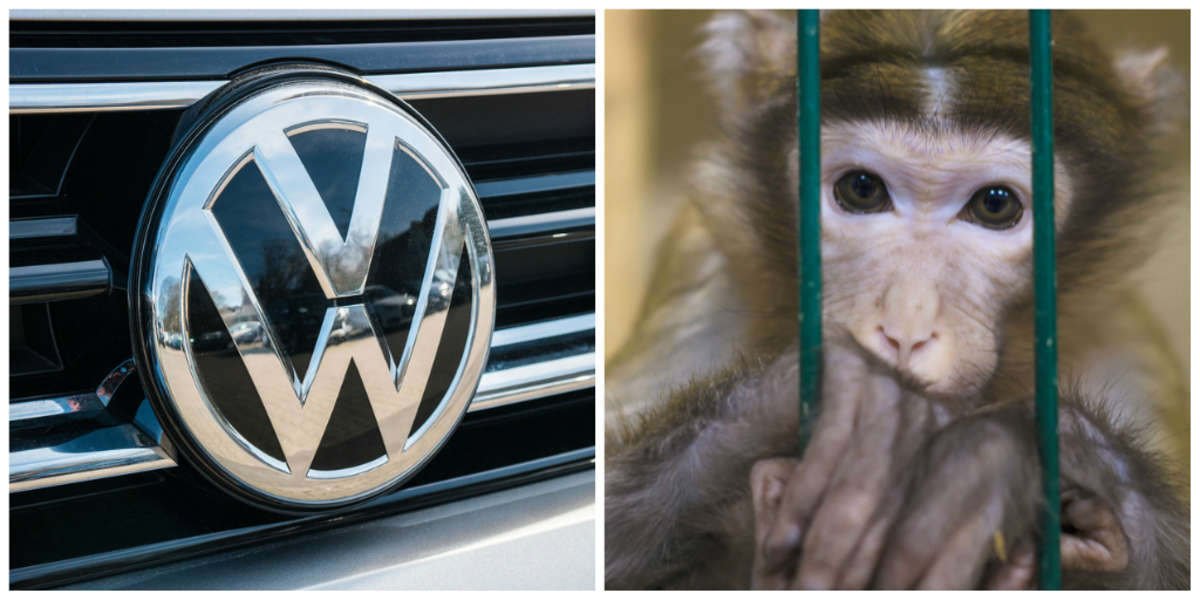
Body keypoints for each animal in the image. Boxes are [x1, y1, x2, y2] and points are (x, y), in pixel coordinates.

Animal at [605, 10, 1189, 589]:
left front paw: (1004, 451)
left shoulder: (1122, 350)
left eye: (995, 205)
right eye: (862, 190)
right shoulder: (705, 276)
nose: (907, 330)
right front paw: (851, 397)